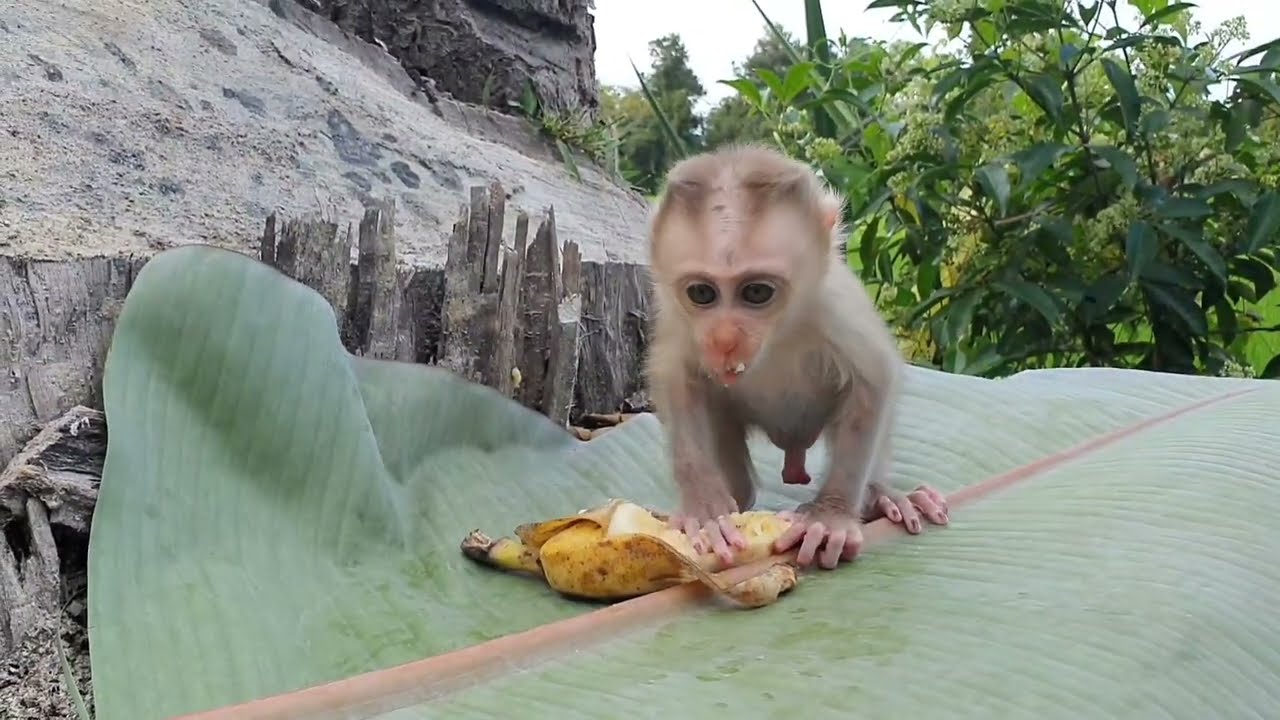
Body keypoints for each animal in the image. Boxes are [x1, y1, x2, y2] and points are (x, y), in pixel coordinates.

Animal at [643, 145, 949, 571]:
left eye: (756, 292)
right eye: (702, 293)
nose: (724, 339)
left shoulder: (834, 303)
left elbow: (873, 379)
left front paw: (830, 519)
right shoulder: (672, 311)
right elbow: (678, 380)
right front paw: (706, 512)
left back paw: (881, 497)